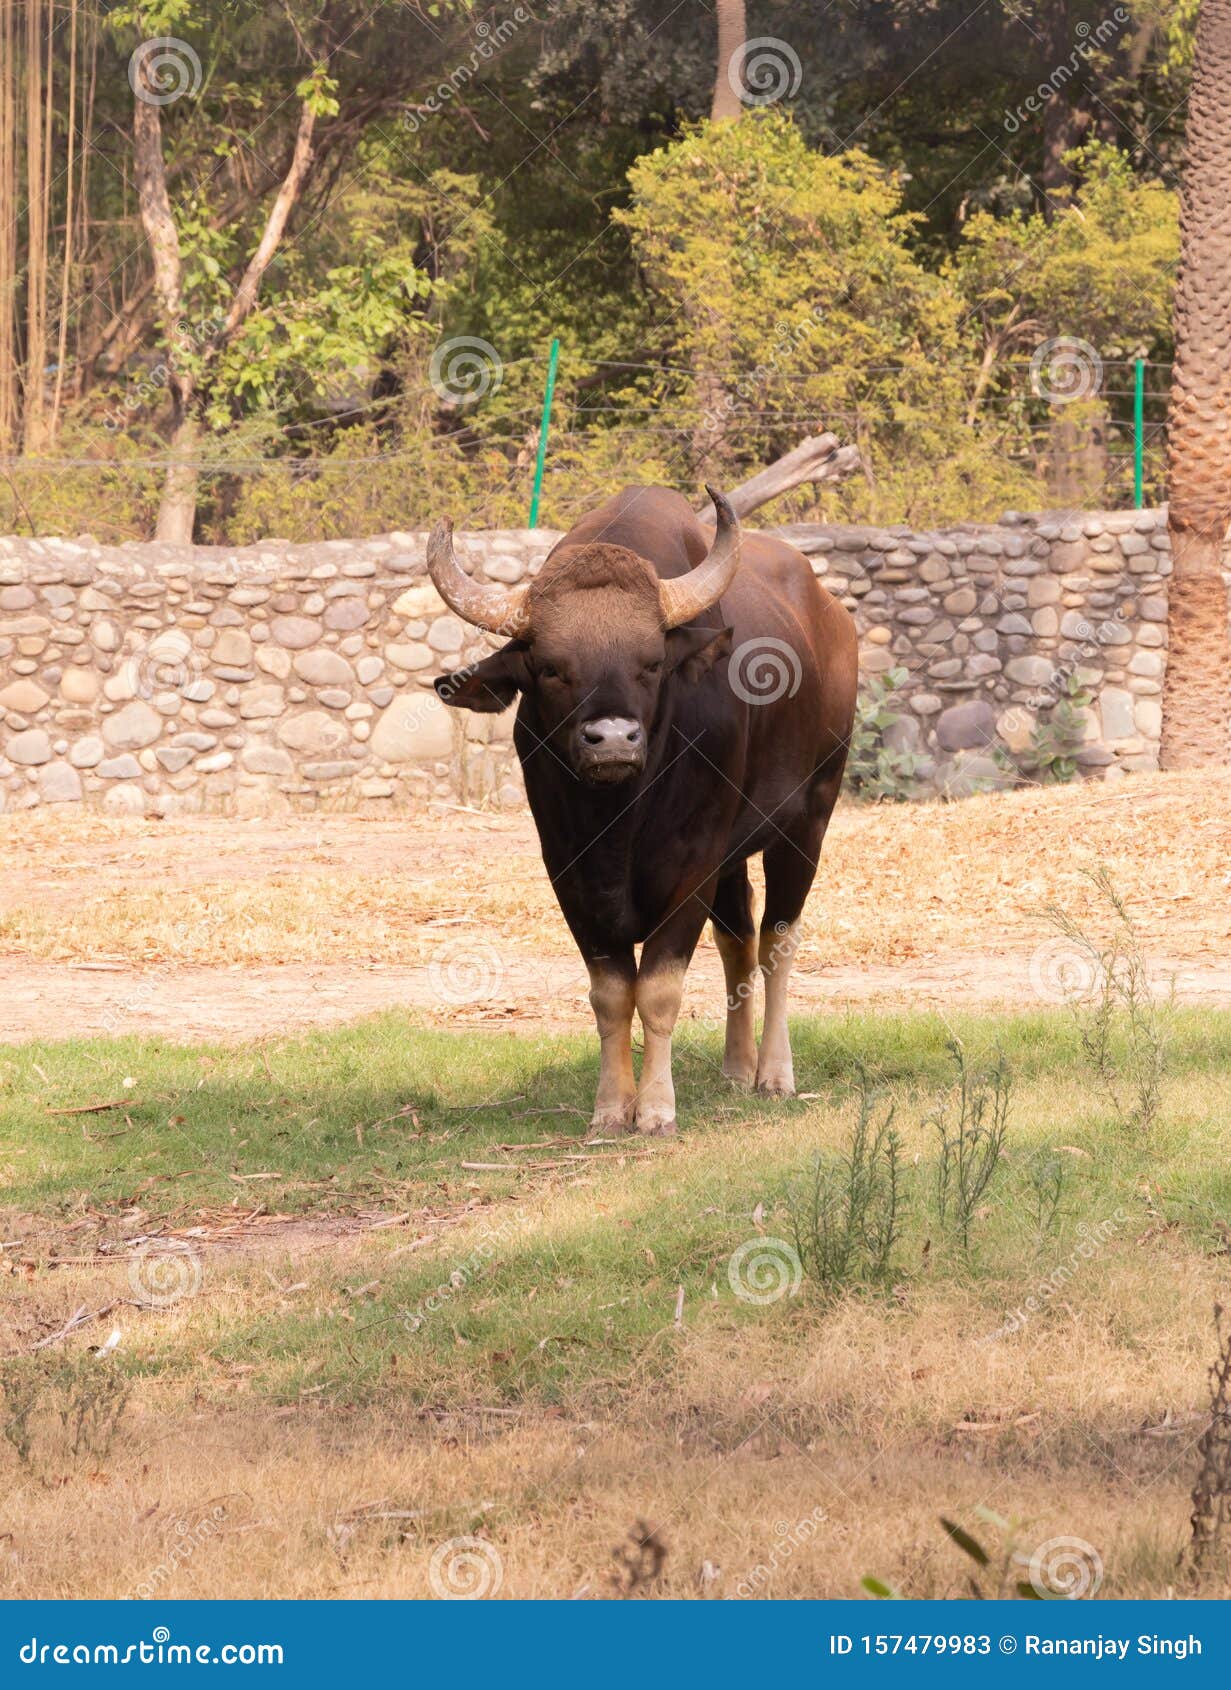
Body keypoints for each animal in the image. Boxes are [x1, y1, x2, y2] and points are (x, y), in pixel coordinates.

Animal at [429, 484, 857, 1135]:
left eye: (651, 663)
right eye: (551, 667)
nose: (612, 740)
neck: (620, 819)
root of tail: (832, 615)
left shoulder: (692, 865)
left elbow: (657, 989)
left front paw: (656, 1108)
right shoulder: (568, 871)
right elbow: (610, 993)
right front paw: (611, 1107)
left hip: (808, 821)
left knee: (777, 944)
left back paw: (774, 1075)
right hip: (733, 857)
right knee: (739, 943)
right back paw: (737, 1069)